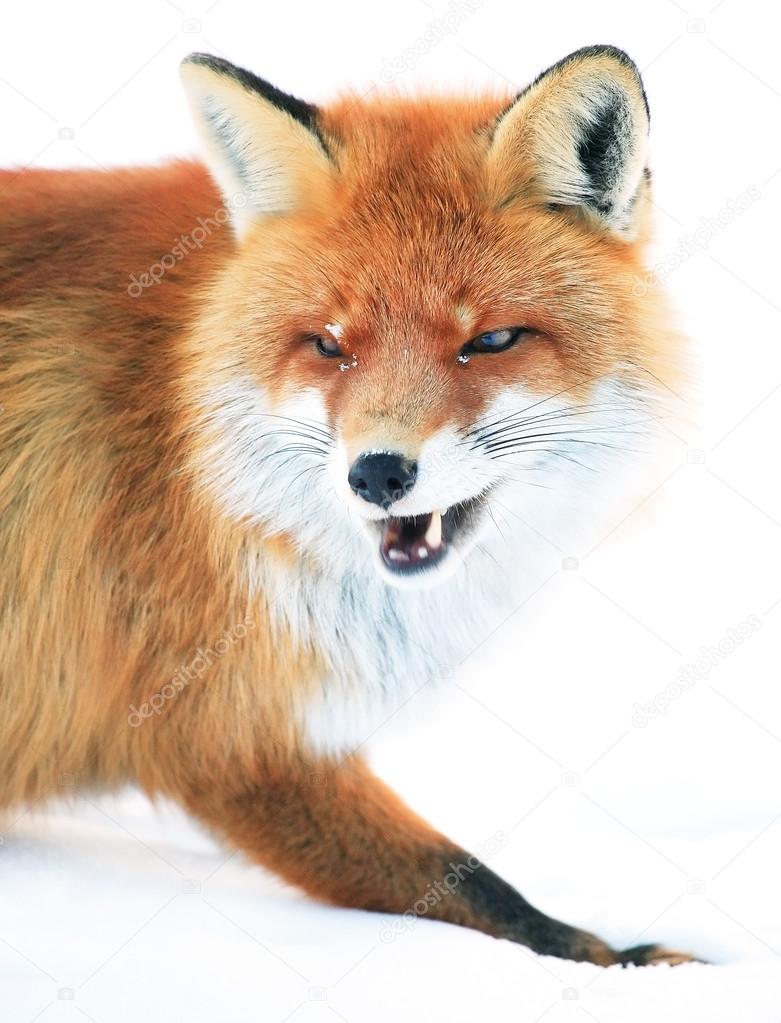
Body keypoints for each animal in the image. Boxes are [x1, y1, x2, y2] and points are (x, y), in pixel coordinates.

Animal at [0, 44, 692, 966]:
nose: (377, 474)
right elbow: (477, 887)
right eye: (329, 346)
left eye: (489, 340)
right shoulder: (224, 735)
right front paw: (617, 967)